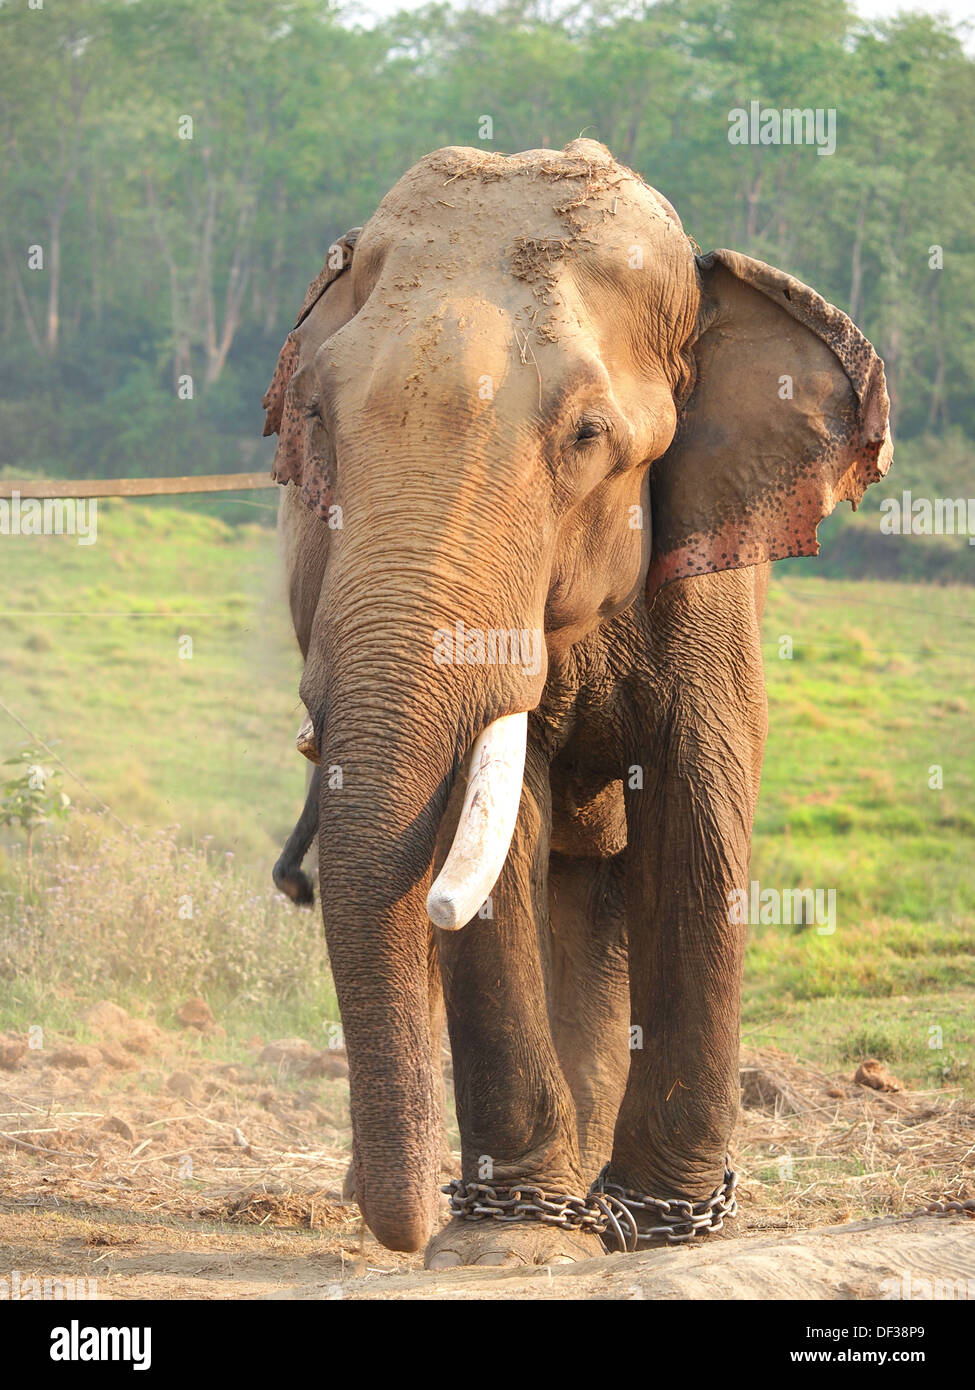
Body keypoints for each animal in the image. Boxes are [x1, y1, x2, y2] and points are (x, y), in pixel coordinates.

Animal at [261, 140, 892, 1268]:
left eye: (589, 434)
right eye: (317, 417)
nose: (407, 1228)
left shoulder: (708, 569)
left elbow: (695, 822)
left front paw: (664, 1228)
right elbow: (503, 831)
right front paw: (509, 1239)